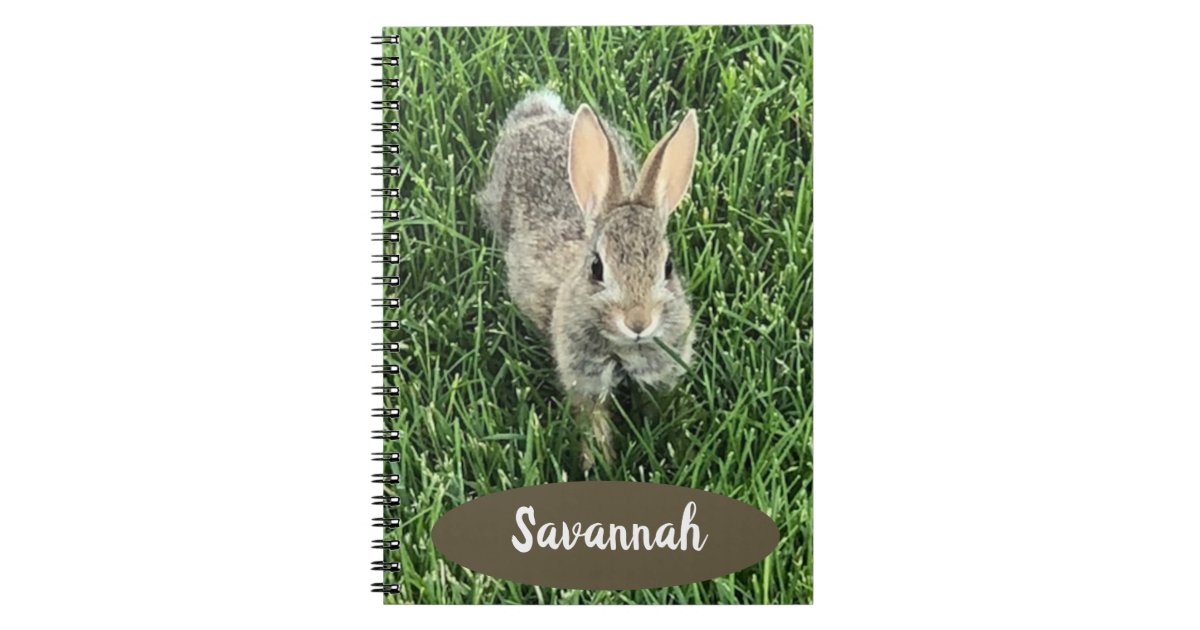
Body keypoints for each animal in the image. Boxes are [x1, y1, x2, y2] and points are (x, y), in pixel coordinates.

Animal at [479, 90, 699, 471]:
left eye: (668, 267)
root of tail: (537, 117)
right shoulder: (585, 375)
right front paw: (598, 466)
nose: (638, 322)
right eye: (597, 268)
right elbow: (593, 421)